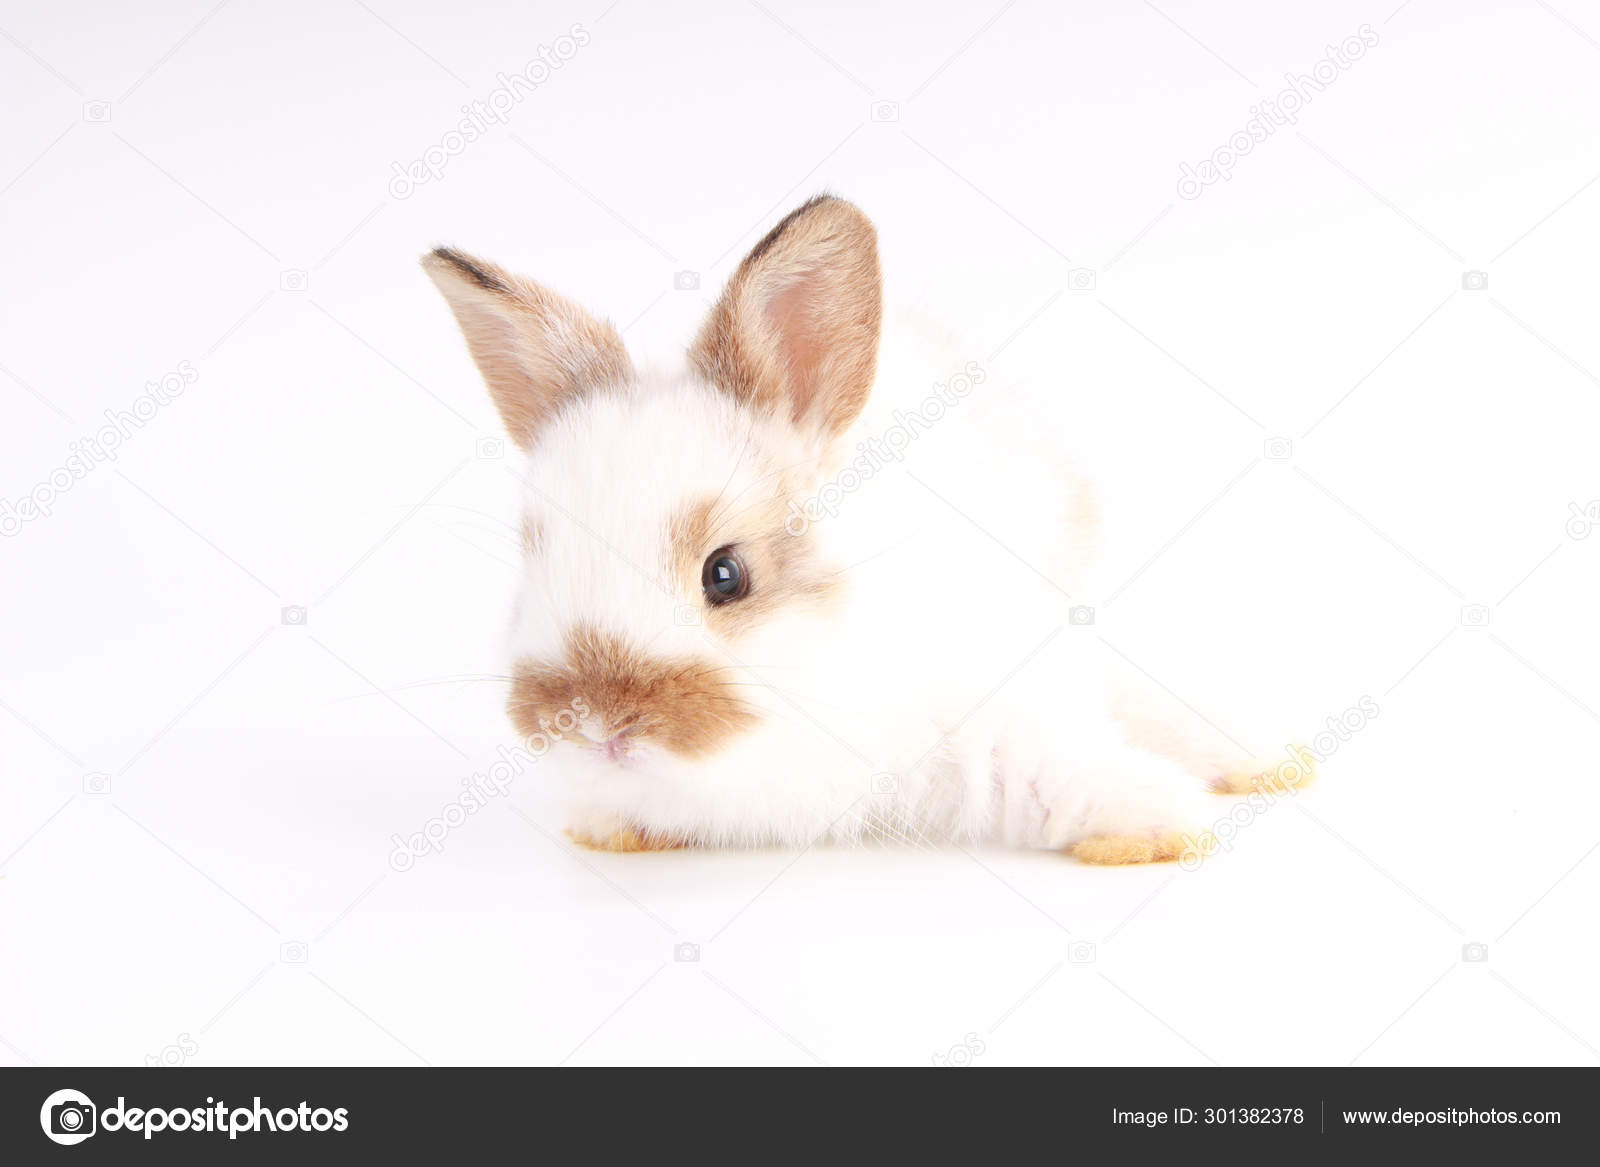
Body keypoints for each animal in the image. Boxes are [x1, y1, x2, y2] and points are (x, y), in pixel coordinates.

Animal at [423, 195, 1310, 864]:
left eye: (726, 574)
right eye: (534, 556)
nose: (596, 726)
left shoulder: (994, 708)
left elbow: (1055, 766)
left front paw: (1159, 822)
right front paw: (609, 830)